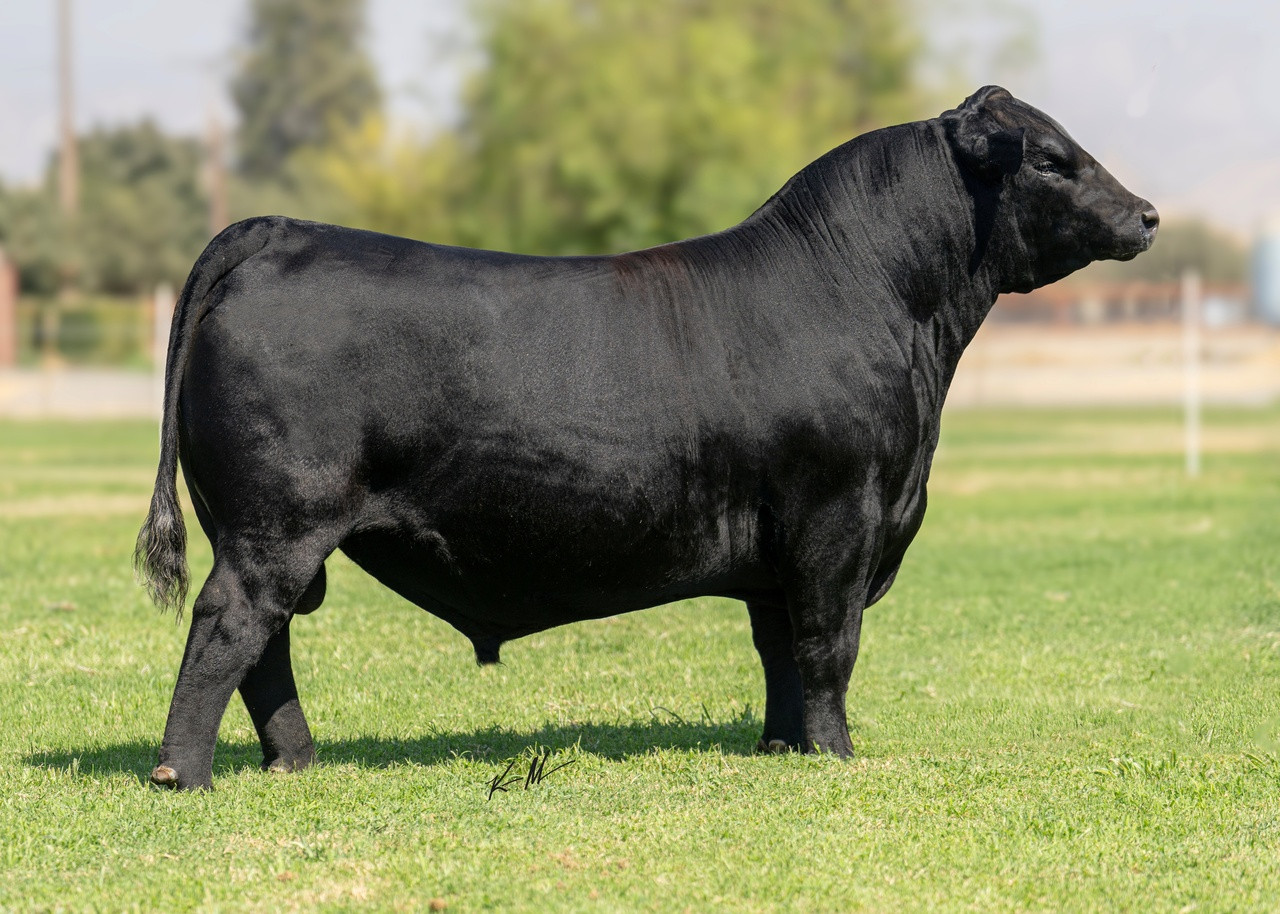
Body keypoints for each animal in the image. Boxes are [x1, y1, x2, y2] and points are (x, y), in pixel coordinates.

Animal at [136, 86, 1157, 789]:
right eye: (1054, 159)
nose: (1148, 213)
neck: (889, 305)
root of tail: (279, 232)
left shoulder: (780, 545)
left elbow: (781, 649)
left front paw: (780, 746)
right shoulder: (838, 518)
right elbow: (829, 645)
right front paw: (835, 755)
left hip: (267, 528)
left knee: (265, 644)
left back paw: (294, 761)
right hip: (278, 521)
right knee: (230, 624)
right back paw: (185, 772)